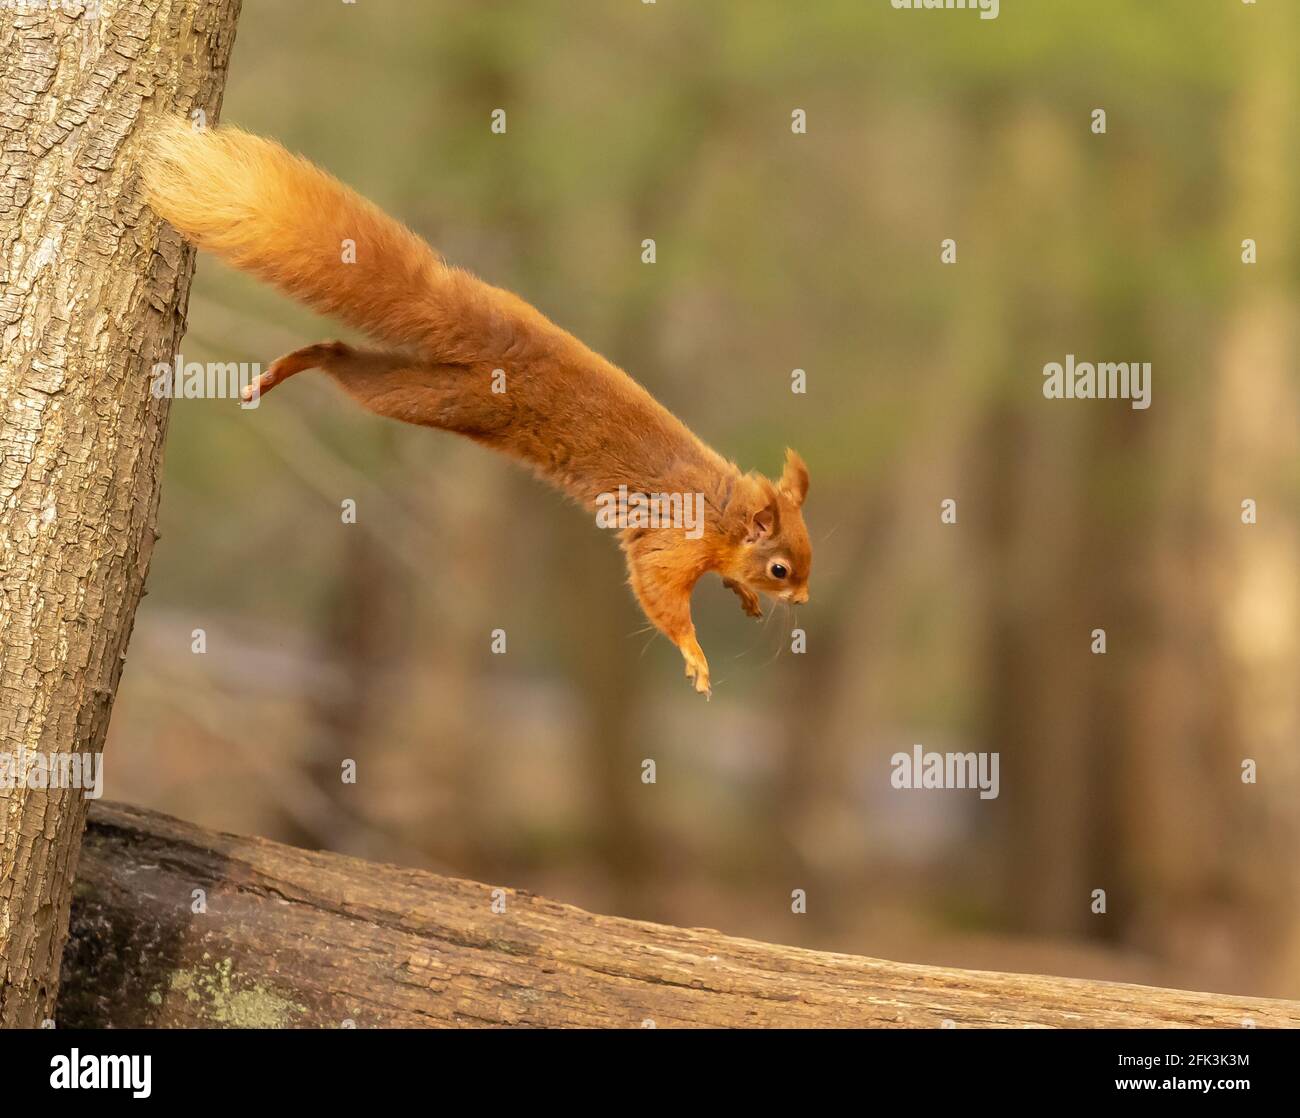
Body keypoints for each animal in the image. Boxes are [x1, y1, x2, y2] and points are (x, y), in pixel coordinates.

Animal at [142, 120, 811, 697]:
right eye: (783, 568)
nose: (802, 602)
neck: (726, 512)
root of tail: (498, 331)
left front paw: (741, 596)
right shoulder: (674, 539)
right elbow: (659, 593)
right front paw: (696, 656)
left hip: (440, 389)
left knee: (351, 360)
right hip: (449, 400)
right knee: (354, 375)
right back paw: (296, 365)